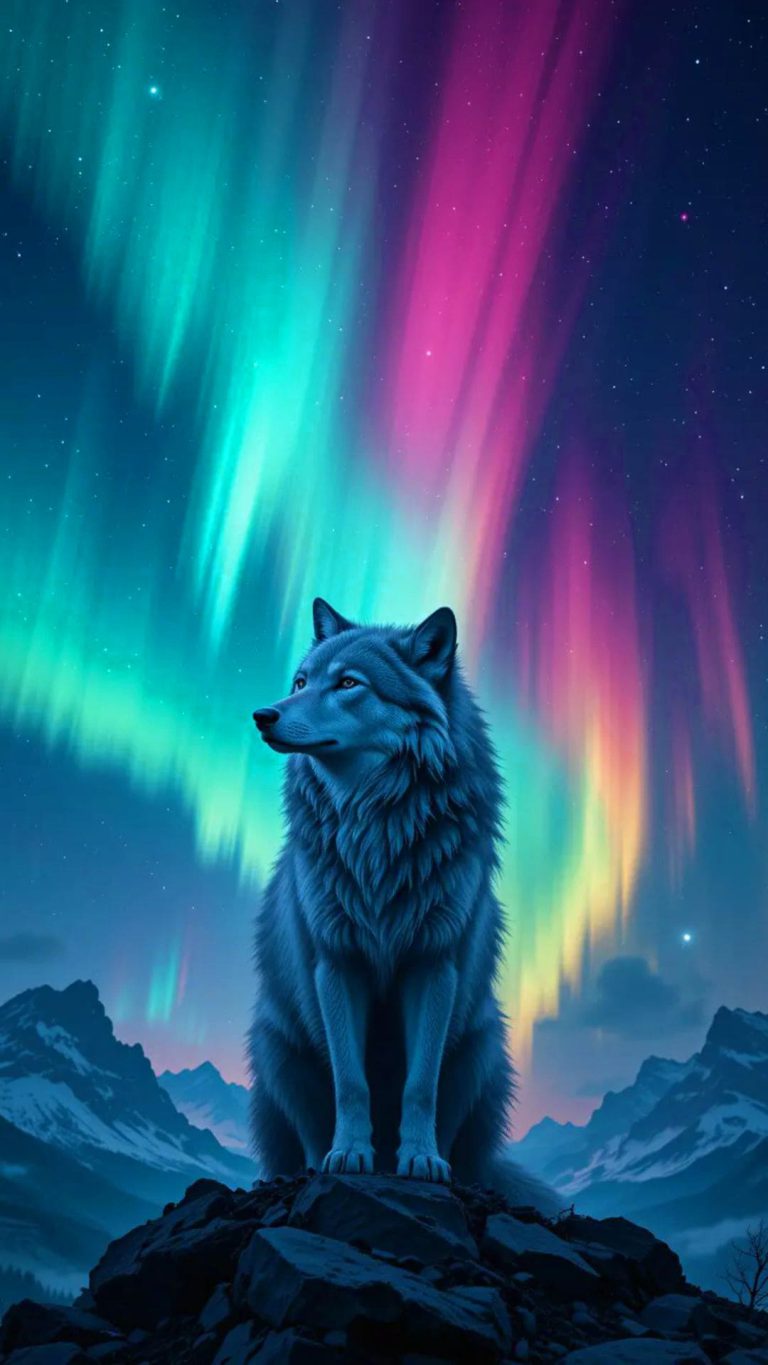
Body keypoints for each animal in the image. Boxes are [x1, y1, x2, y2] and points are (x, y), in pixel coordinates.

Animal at [248, 598, 548, 1204]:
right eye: (300, 681)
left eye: (348, 684)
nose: (263, 715)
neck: (375, 832)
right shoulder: (337, 965)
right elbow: (351, 1081)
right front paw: (350, 1155)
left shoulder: (433, 966)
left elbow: (420, 1085)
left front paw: (421, 1161)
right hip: (276, 1049)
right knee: (307, 1133)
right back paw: (314, 1168)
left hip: (484, 1047)